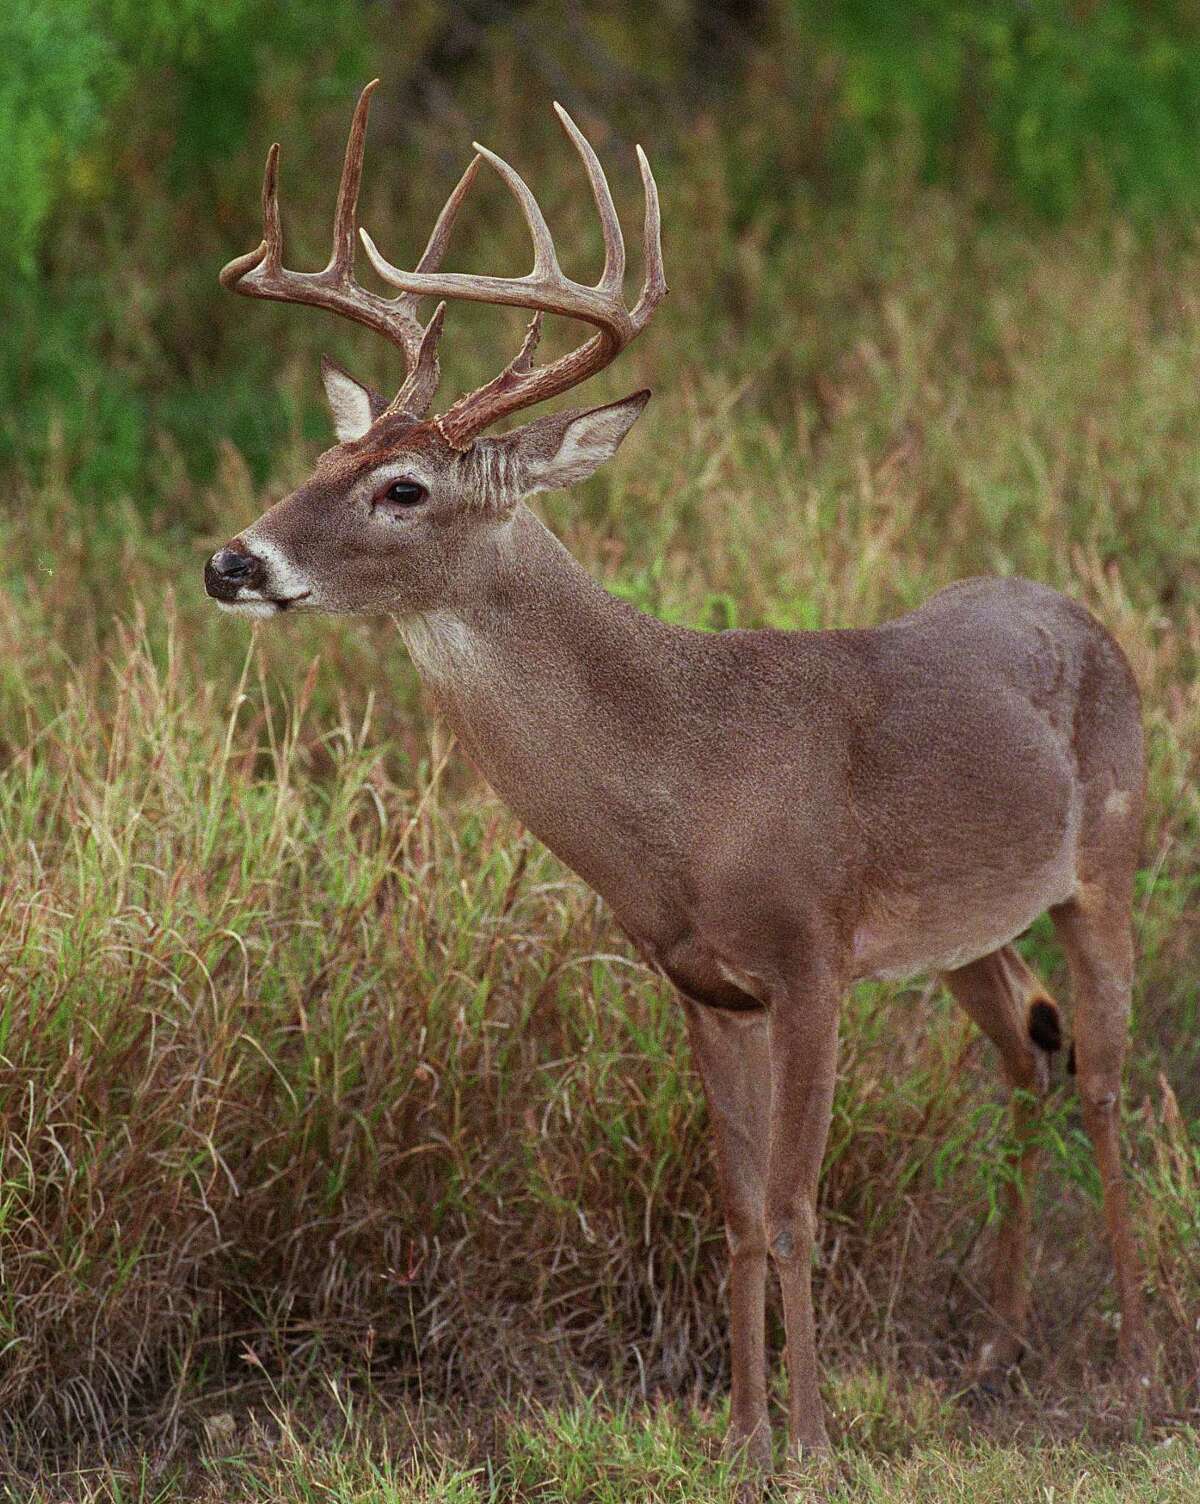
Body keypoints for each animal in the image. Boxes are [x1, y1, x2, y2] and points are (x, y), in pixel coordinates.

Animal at [205, 81, 1151, 1470]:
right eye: (318, 462)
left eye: (402, 486)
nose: (233, 561)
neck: (685, 787)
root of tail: (1085, 613)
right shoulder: (703, 984)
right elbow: (740, 1206)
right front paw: (745, 1434)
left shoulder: (810, 959)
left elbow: (801, 1202)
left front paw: (811, 1444)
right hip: (968, 926)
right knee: (1029, 1049)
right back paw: (992, 1348)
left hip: (1109, 857)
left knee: (1104, 1075)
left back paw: (1138, 1360)